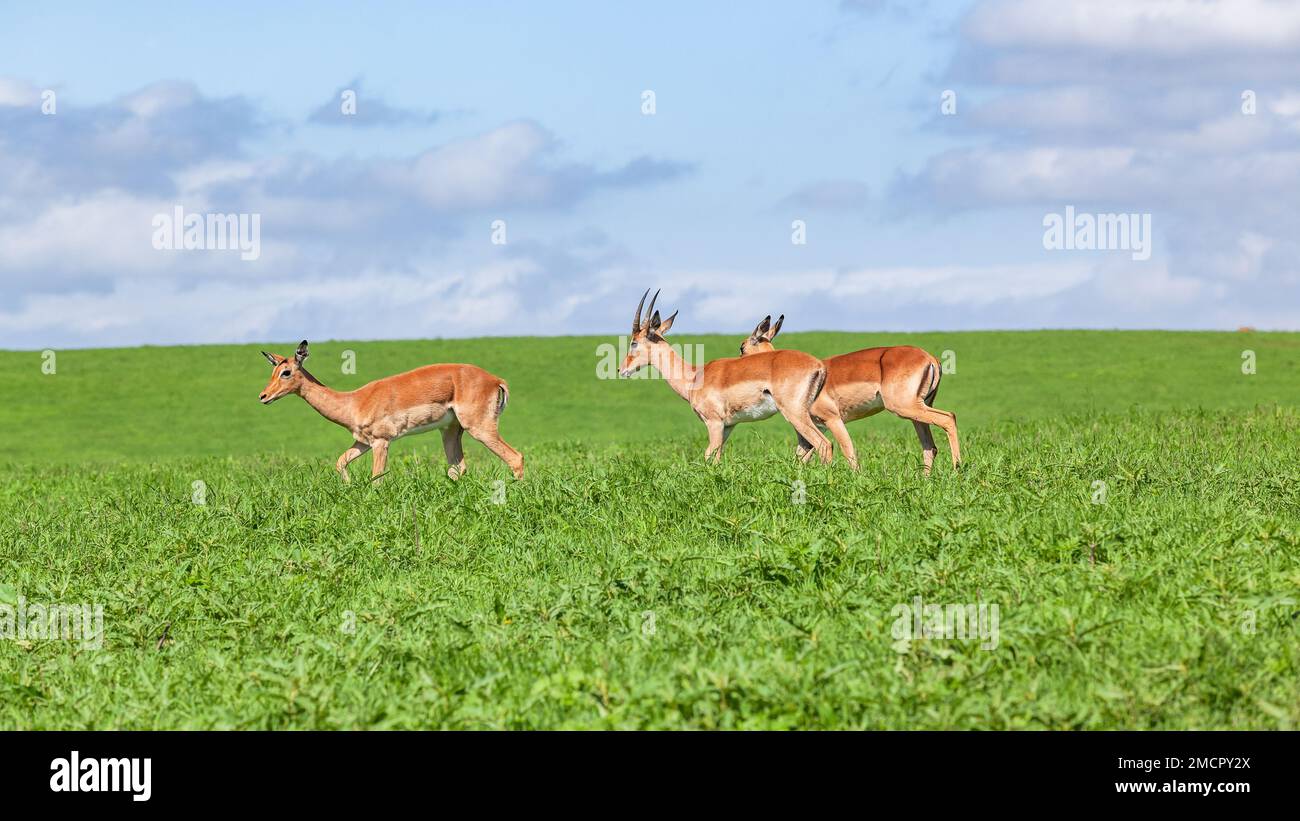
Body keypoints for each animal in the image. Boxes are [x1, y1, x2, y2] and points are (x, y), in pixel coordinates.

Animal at [257, 341, 524, 482]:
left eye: (286, 372)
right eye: (273, 371)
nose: (263, 396)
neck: (354, 402)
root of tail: (495, 380)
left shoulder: (381, 441)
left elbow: (377, 477)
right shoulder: (362, 442)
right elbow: (340, 462)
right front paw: (348, 486)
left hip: (479, 427)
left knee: (515, 457)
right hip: (450, 430)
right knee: (458, 468)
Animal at [618, 290, 833, 464]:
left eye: (634, 342)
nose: (621, 370)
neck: (694, 377)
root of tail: (819, 366)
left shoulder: (714, 422)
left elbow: (710, 455)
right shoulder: (728, 426)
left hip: (795, 414)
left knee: (824, 445)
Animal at [739, 315, 960, 475]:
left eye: (742, 347)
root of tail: (930, 358)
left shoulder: (833, 419)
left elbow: (848, 450)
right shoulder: (815, 427)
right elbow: (800, 458)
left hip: (905, 407)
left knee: (949, 418)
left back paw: (957, 471)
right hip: (917, 412)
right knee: (930, 446)